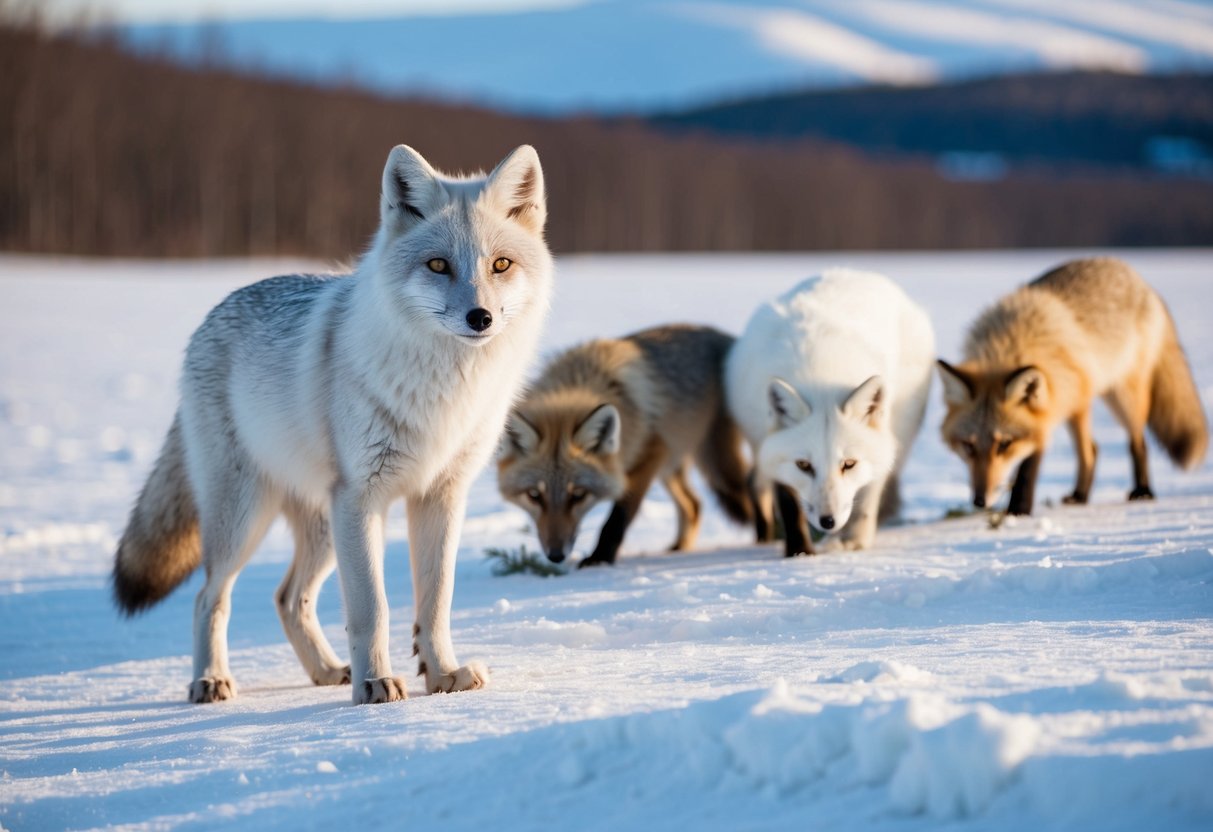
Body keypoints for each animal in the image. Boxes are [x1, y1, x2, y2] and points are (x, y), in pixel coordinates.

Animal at [112, 144, 554, 704]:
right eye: (438, 265)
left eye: (500, 265)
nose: (481, 318)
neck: (442, 393)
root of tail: (208, 321)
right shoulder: (362, 498)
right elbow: (372, 609)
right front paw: (376, 684)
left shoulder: (440, 496)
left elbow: (435, 603)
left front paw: (442, 676)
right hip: (248, 521)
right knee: (209, 596)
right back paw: (211, 679)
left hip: (323, 528)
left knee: (287, 598)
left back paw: (325, 671)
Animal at [497, 325, 755, 567]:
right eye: (534, 495)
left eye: (578, 495)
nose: (556, 556)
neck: (582, 381)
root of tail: (731, 337)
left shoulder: (649, 454)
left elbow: (616, 519)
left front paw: (600, 559)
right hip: (671, 466)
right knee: (694, 504)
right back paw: (679, 547)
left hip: (718, 469)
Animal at [726, 270, 936, 556]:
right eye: (804, 465)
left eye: (849, 464)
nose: (828, 521)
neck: (819, 375)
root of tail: (856, 272)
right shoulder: (765, 443)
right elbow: (788, 502)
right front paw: (799, 551)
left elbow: (867, 497)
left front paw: (853, 539)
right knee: (755, 483)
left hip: (902, 428)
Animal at [937, 257, 1207, 516]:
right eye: (968, 446)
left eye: (1005, 444)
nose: (980, 501)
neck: (1010, 345)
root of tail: (1138, 278)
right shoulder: (1056, 403)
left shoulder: (1056, 407)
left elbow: (1029, 467)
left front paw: (1019, 511)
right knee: (1093, 450)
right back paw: (1080, 496)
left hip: (1119, 396)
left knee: (1135, 442)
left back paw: (1143, 490)